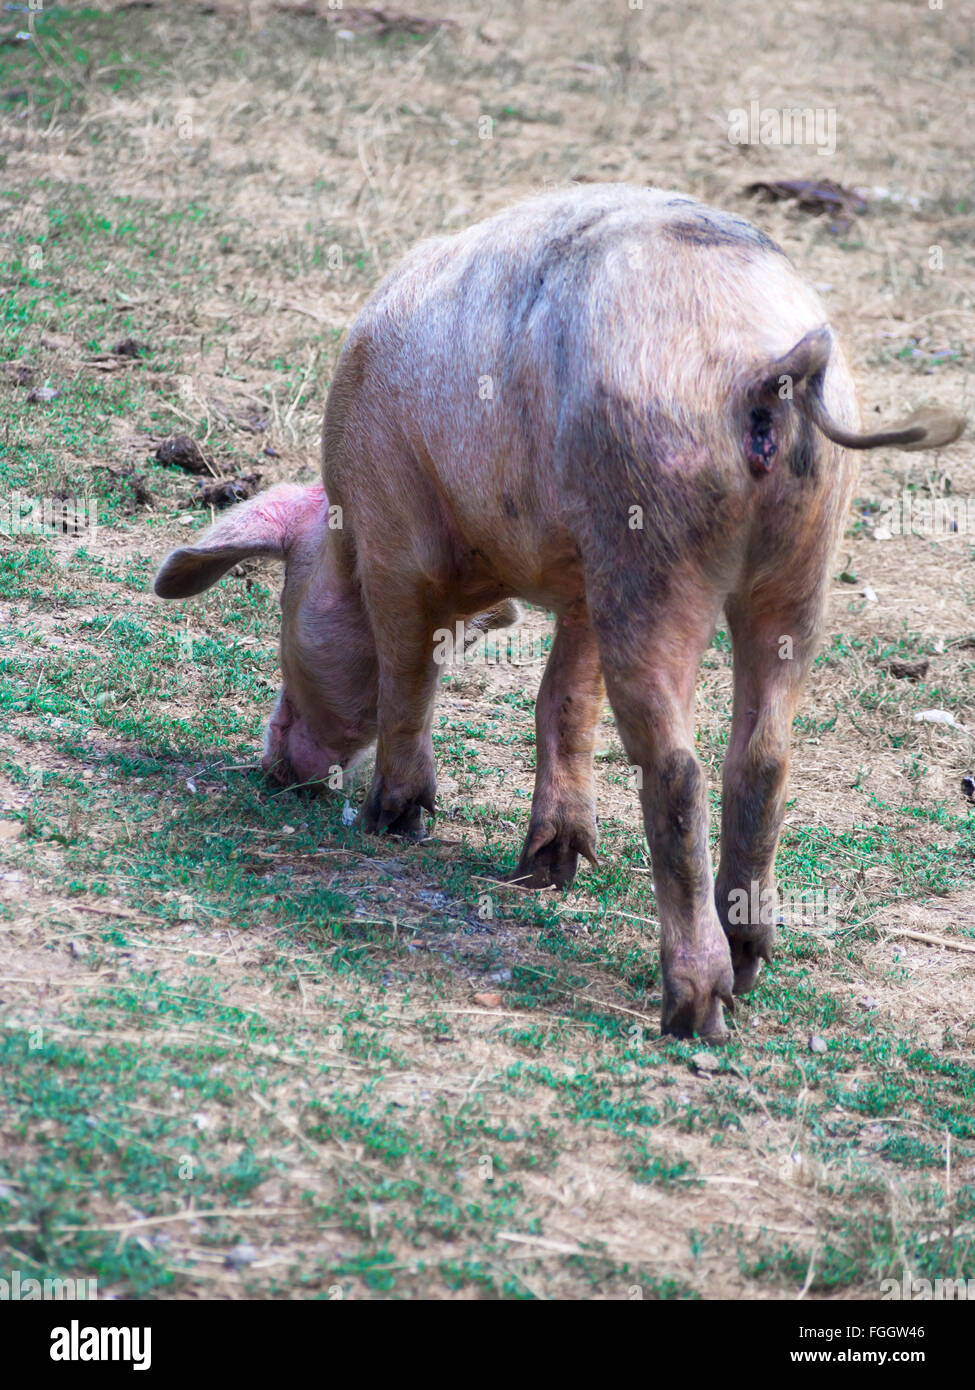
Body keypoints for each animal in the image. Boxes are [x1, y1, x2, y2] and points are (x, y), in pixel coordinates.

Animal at [154, 184, 964, 1041]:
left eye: (286, 612)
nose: (273, 769)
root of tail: (772, 365)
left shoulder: (394, 538)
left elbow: (408, 675)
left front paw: (393, 820)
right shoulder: (580, 581)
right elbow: (564, 699)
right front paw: (548, 868)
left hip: (650, 537)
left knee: (677, 770)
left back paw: (693, 1011)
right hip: (801, 553)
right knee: (763, 756)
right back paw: (745, 968)